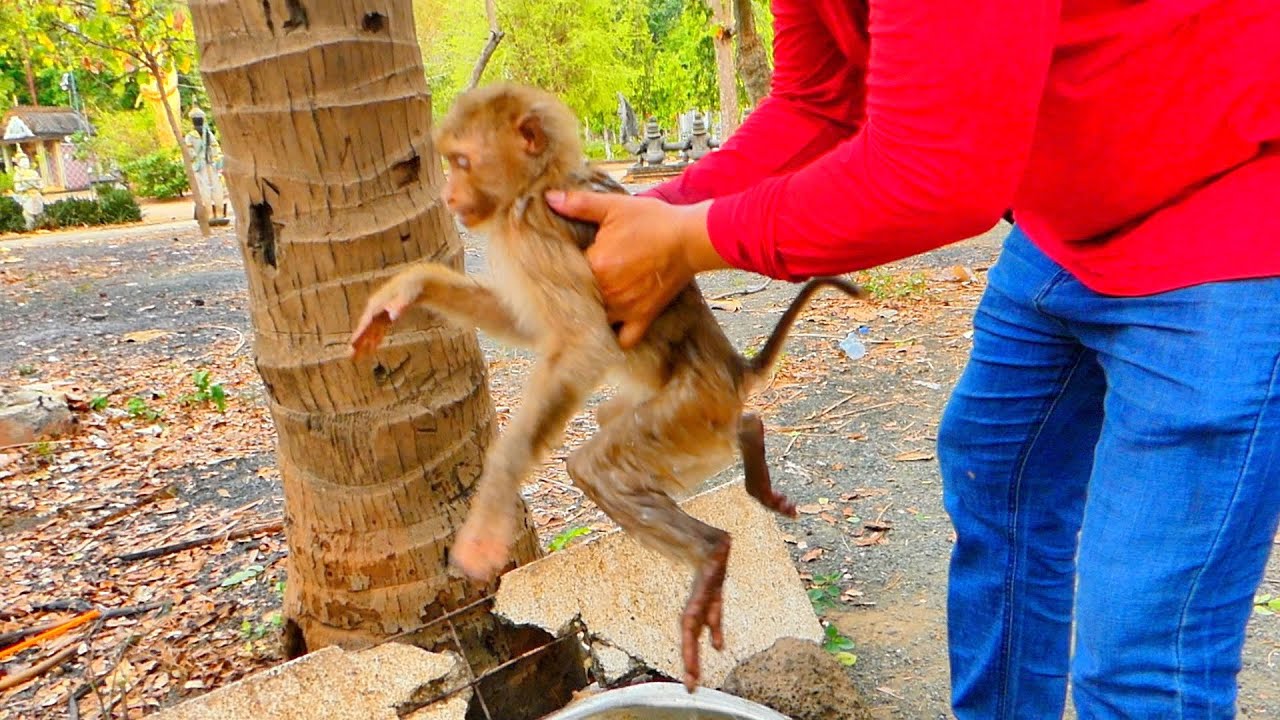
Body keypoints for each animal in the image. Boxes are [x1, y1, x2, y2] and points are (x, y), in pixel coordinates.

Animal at [350, 82, 867, 691]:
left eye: (461, 163)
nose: (449, 196)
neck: (537, 184)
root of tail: (731, 368)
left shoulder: (534, 229)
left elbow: (584, 347)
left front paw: (487, 519)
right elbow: (533, 329)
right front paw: (410, 286)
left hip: (691, 404)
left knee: (597, 466)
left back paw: (711, 552)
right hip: (692, 410)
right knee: (632, 422)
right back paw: (748, 434)